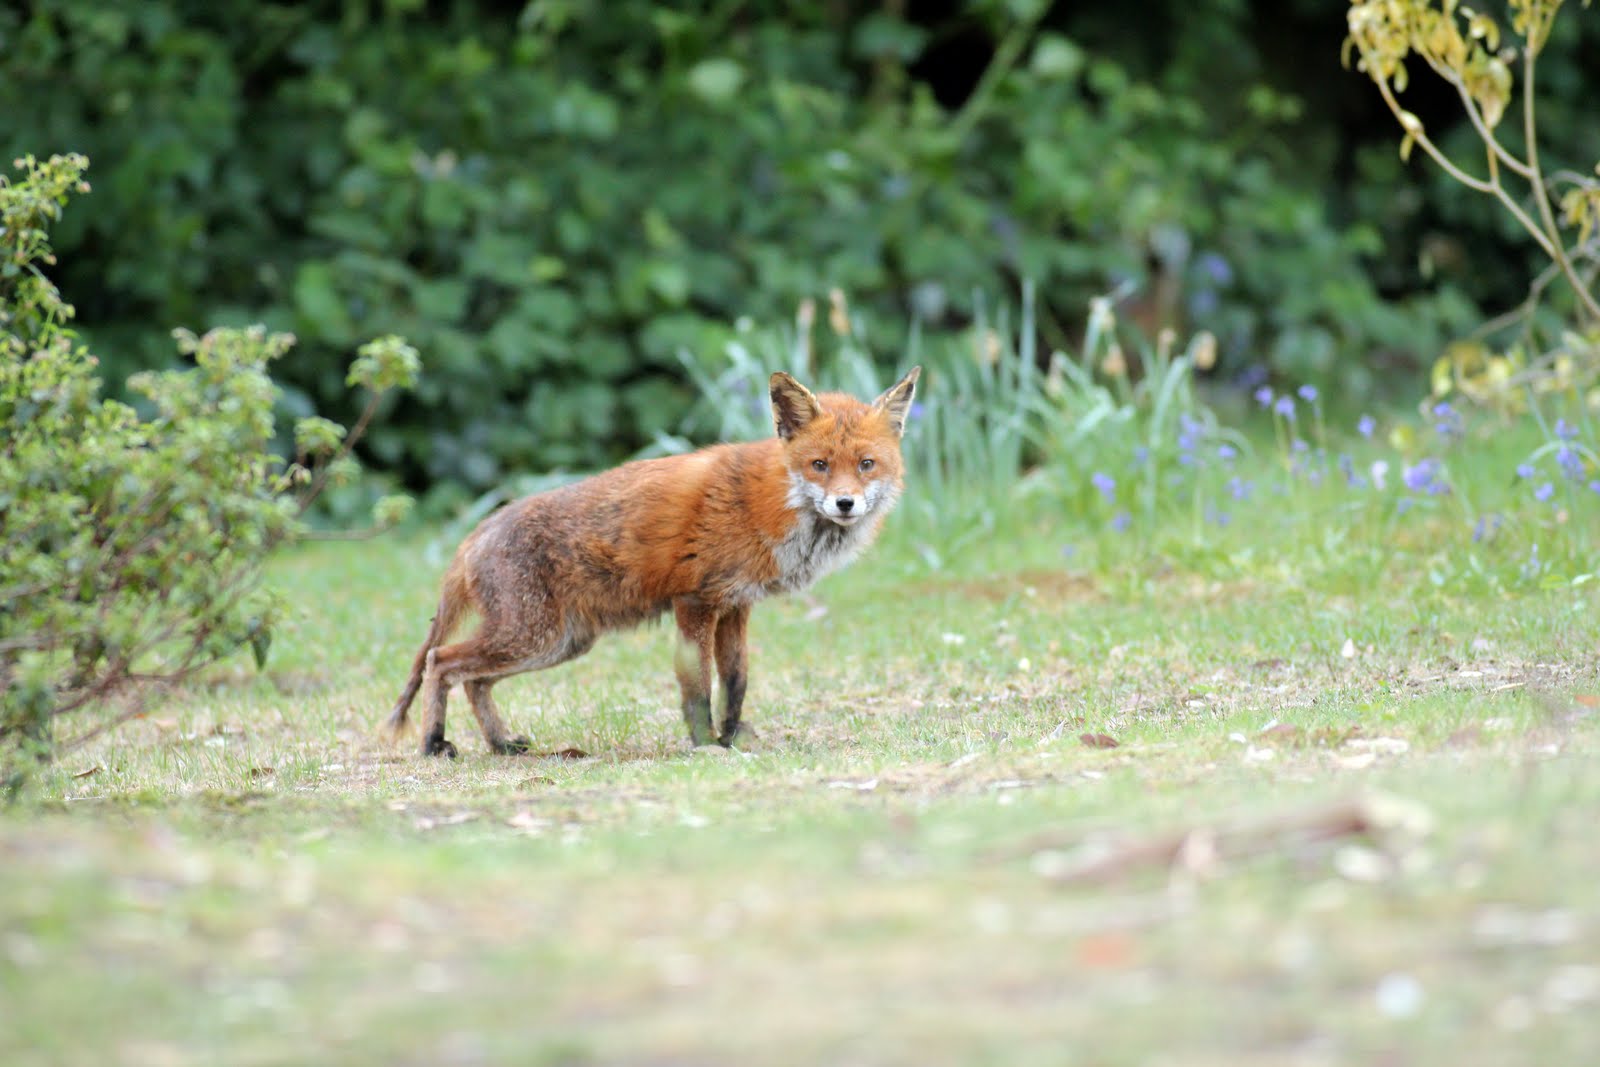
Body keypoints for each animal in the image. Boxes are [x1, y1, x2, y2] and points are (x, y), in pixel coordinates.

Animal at [385, 366, 921, 757]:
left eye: (866, 465)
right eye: (820, 466)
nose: (845, 504)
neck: (766, 503)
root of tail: (475, 532)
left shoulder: (736, 605)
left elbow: (736, 682)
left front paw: (731, 737)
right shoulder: (695, 601)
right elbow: (697, 687)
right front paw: (705, 746)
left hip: (557, 644)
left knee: (473, 680)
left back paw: (502, 744)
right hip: (533, 636)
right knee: (440, 661)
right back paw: (433, 744)